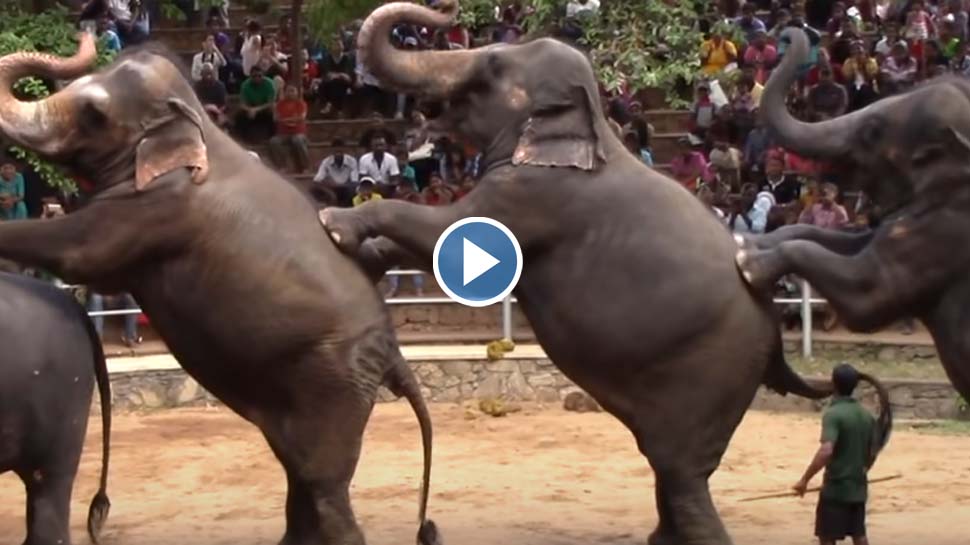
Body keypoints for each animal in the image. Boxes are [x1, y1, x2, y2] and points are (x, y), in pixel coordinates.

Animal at [319, 2, 892, 544]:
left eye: (493, 65)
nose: (448, 12)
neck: (592, 123)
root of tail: (775, 340)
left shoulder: (540, 195)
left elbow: (451, 232)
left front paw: (333, 224)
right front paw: (360, 249)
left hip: (712, 376)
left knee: (682, 473)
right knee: (670, 472)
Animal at [734, 27, 970, 401]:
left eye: (872, 131)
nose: (788, 35)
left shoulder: (942, 238)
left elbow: (868, 295)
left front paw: (749, 262)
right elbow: (847, 239)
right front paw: (751, 241)